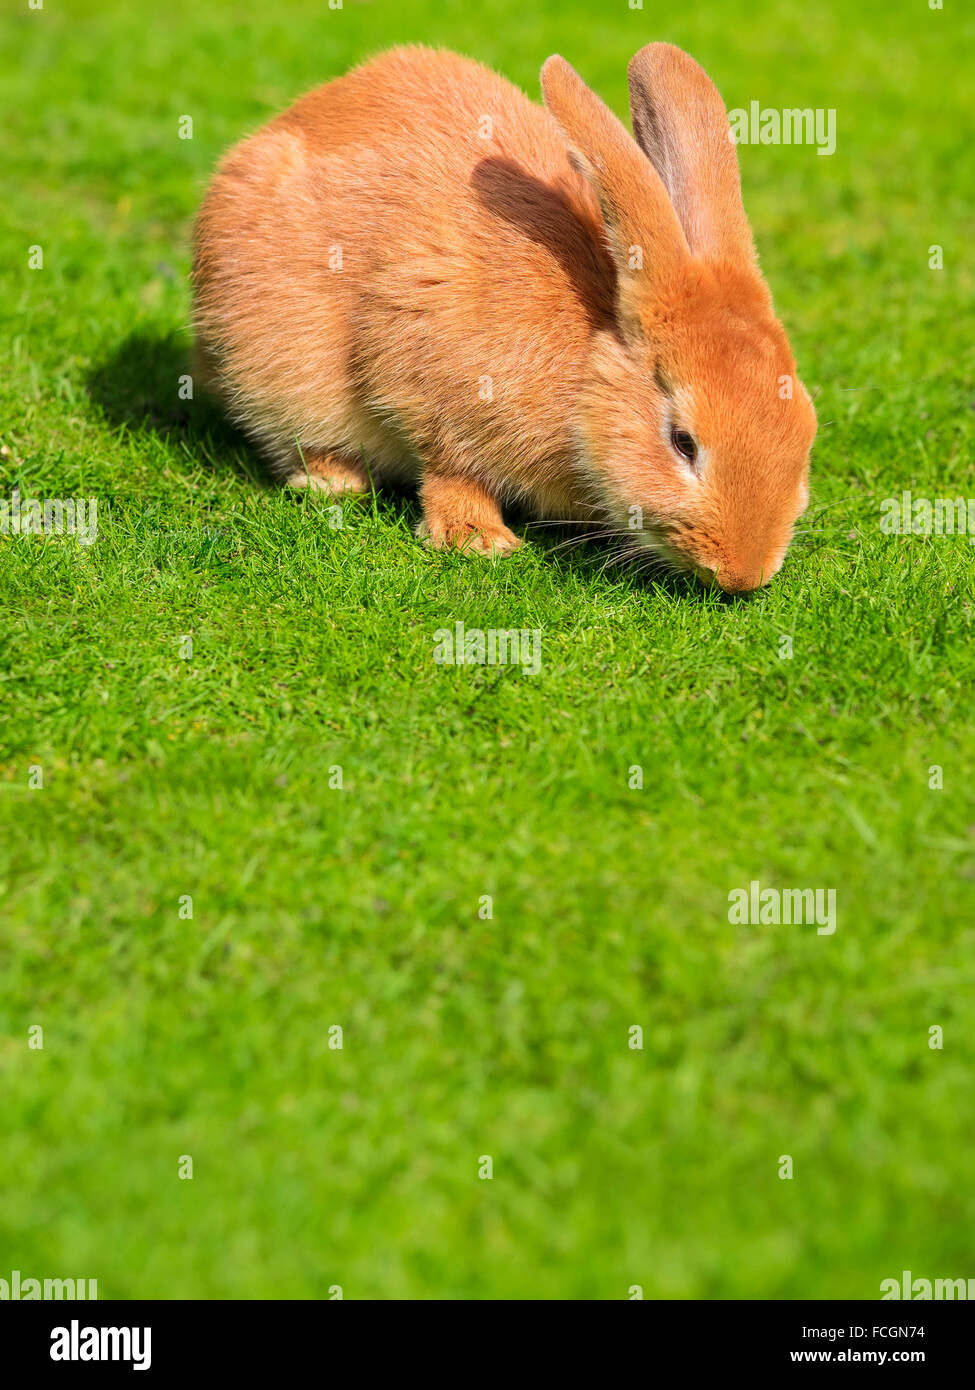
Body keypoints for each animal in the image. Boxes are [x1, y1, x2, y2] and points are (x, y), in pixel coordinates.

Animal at [192, 43, 816, 592]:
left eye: (806, 428)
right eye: (683, 442)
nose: (743, 576)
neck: (586, 363)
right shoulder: (428, 381)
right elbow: (448, 466)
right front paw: (478, 540)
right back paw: (332, 481)